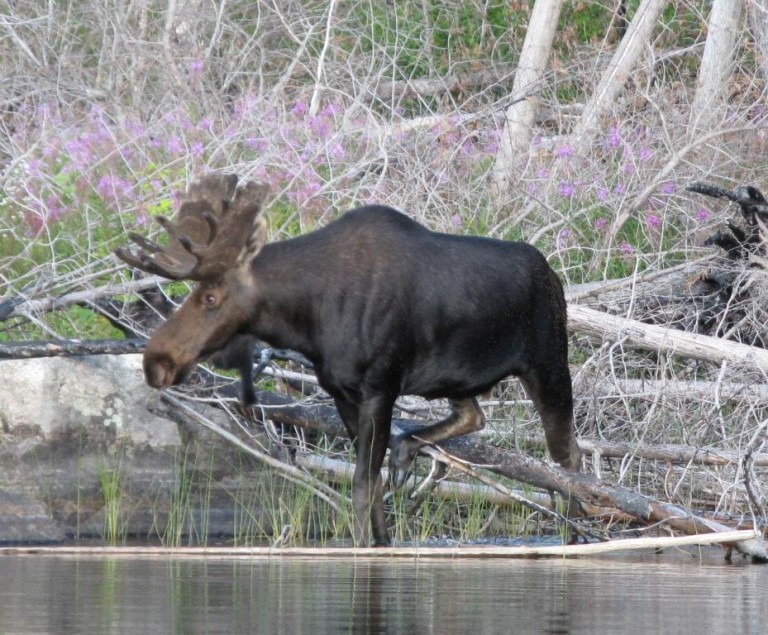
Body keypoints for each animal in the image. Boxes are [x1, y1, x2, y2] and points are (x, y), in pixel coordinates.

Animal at [115, 173, 581, 546]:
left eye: (210, 297)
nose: (156, 361)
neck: (306, 320)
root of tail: (553, 274)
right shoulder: (340, 392)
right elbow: (372, 484)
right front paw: (381, 540)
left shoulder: (380, 387)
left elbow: (359, 484)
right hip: (457, 376)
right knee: (476, 416)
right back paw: (408, 449)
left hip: (549, 363)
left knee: (567, 458)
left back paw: (577, 535)